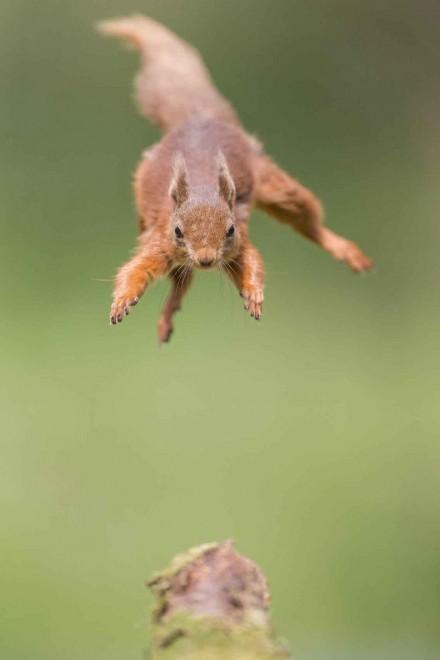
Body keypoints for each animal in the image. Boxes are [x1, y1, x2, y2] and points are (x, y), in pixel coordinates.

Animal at [98, 15, 372, 344]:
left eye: (229, 230)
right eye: (178, 231)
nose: (205, 259)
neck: (203, 188)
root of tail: (198, 117)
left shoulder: (239, 242)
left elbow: (253, 263)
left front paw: (253, 295)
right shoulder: (159, 242)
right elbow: (133, 271)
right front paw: (121, 301)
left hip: (274, 185)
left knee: (307, 221)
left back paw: (344, 250)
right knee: (181, 280)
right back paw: (167, 315)